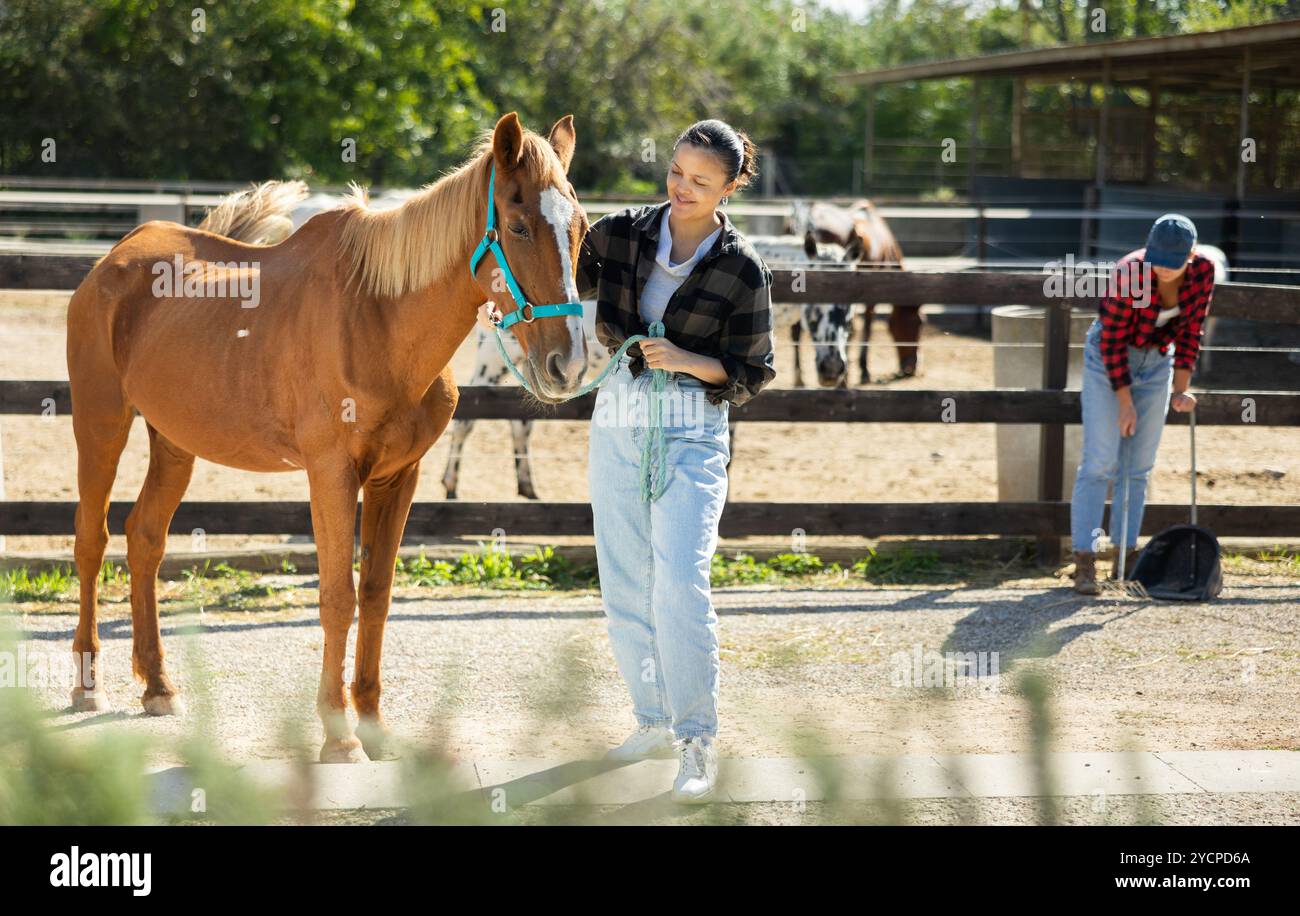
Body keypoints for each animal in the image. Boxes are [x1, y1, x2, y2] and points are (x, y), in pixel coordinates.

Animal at [66, 112, 589, 763]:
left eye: (581, 228)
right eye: (517, 225)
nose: (567, 364)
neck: (379, 320)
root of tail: (115, 257)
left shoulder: (398, 476)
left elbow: (376, 594)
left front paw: (374, 725)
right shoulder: (331, 473)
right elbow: (338, 596)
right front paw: (339, 736)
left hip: (174, 442)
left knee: (144, 540)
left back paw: (158, 686)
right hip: (100, 423)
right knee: (92, 539)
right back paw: (87, 685)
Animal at [787, 199, 918, 381]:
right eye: (917, 323)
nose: (911, 367)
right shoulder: (870, 295)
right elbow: (866, 328)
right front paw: (863, 370)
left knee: (796, 330)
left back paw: (799, 378)